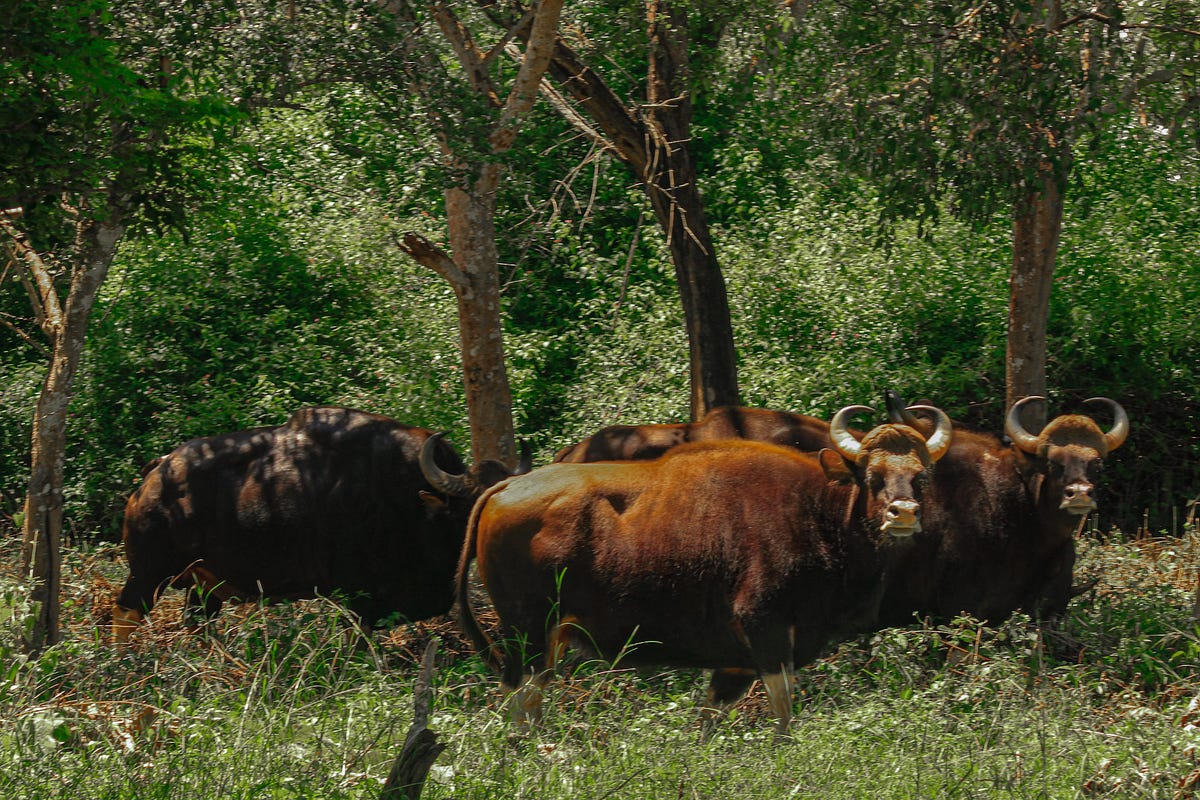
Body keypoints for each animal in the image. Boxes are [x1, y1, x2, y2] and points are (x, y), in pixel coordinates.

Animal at [113, 406, 520, 641]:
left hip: (204, 588)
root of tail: (154, 475)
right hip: (149, 574)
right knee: (124, 614)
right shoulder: (358, 597)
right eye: (474, 509)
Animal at [453, 405, 953, 734]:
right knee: (520, 704)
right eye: (872, 476)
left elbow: (707, 721)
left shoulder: (737, 660)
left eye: (921, 477)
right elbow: (784, 717)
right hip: (527, 633)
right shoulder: (766, 628)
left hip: (548, 640)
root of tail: (505, 487)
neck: (816, 512)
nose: (903, 513)